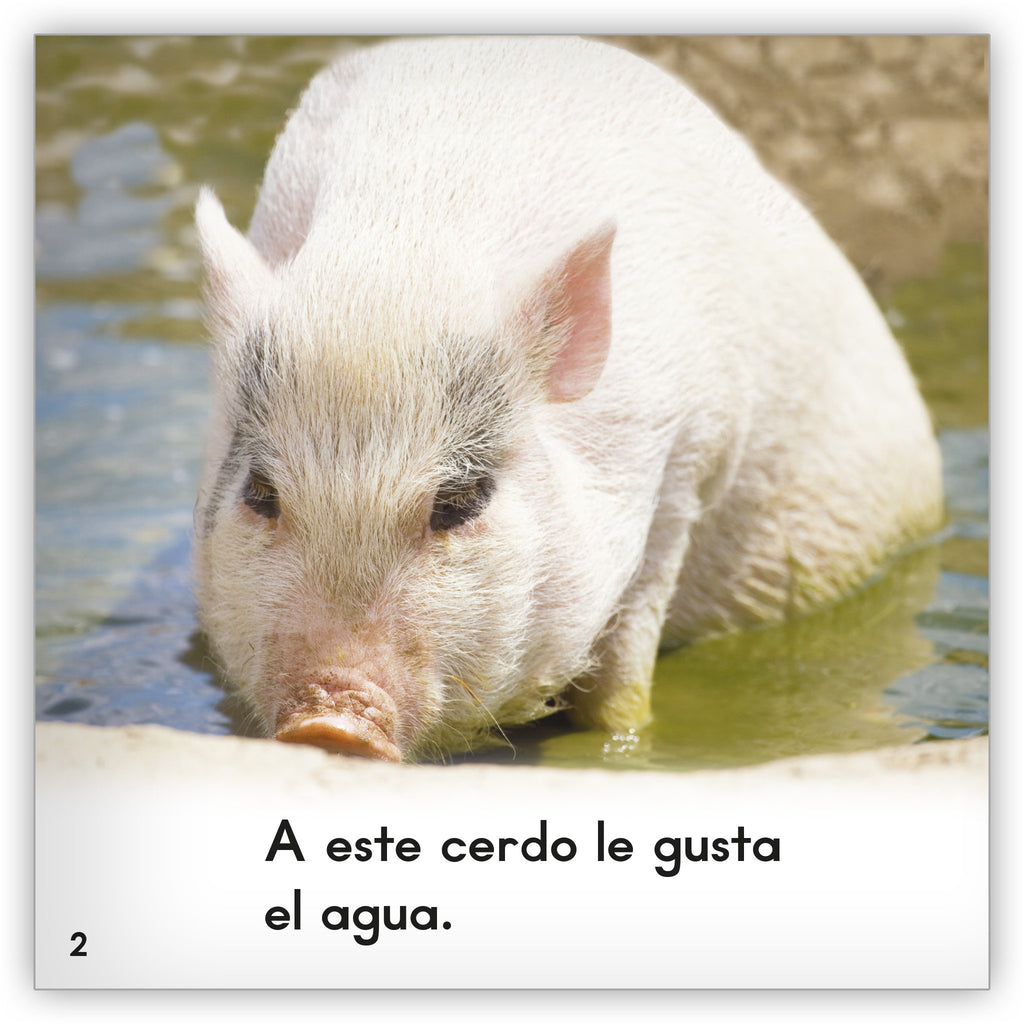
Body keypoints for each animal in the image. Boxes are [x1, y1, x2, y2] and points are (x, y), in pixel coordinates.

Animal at [193, 36, 943, 762]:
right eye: (260, 493)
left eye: (460, 502)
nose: (328, 721)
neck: (405, 253)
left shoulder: (692, 453)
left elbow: (622, 682)